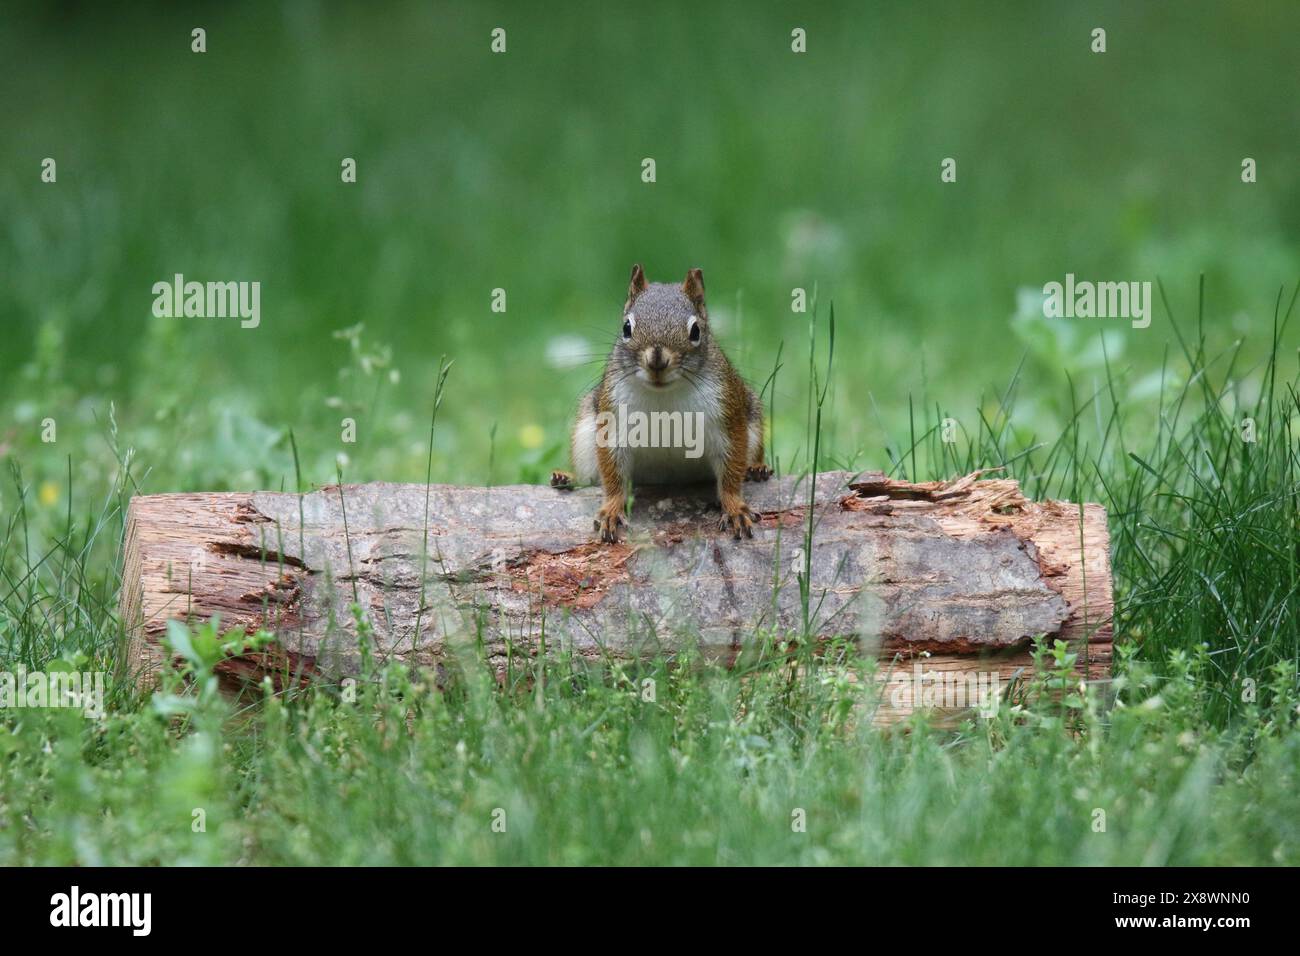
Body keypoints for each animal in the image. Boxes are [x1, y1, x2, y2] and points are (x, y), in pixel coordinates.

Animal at [551, 264, 772, 542]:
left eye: (696, 331)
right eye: (626, 328)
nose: (657, 360)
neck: (663, 394)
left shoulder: (728, 418)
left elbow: (731, 470)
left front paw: (734, 509)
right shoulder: (613, 421)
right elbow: (612, 476)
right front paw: (611, 511)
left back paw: (757, 469)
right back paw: (564, 478)